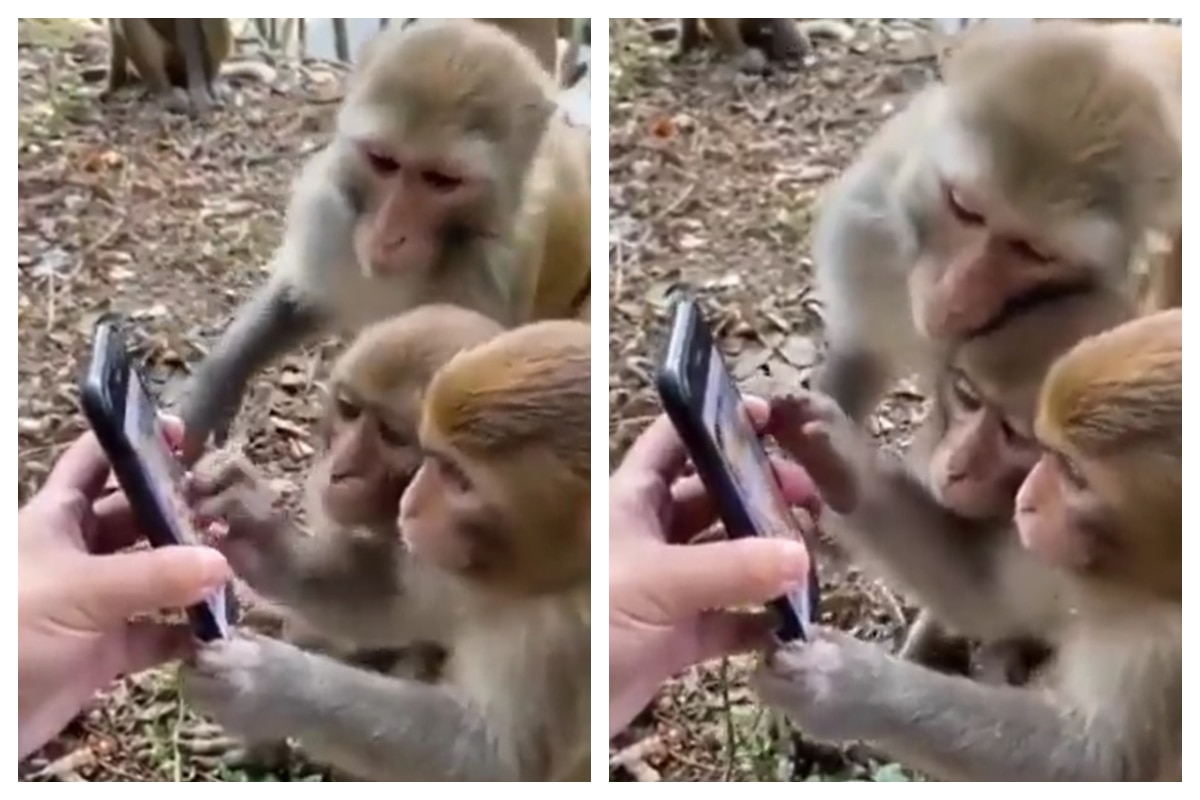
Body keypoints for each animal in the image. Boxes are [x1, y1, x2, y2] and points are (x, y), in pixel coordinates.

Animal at [176, 19, 591, 464]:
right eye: (383, 161)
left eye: (443, 181)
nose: (389, 234)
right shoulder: (331, 213)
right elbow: (301, 302)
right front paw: (216, 387)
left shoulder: (485, 279)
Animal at [180, 319, 591, 781]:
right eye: (348, 410)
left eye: (393, 436)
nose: (412, 504)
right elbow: (398, 603)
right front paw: (249, 519)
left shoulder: (564, 639)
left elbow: (495, 765)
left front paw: (265, 685)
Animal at [755, 308, 1181, 781]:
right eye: (1047, 453)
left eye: (1072, 472)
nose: (1026, 501)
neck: (1147, 582)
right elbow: (984, 595)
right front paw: (831, 452)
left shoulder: (1165, 659)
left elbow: (1093, 767)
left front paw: (845, 685)